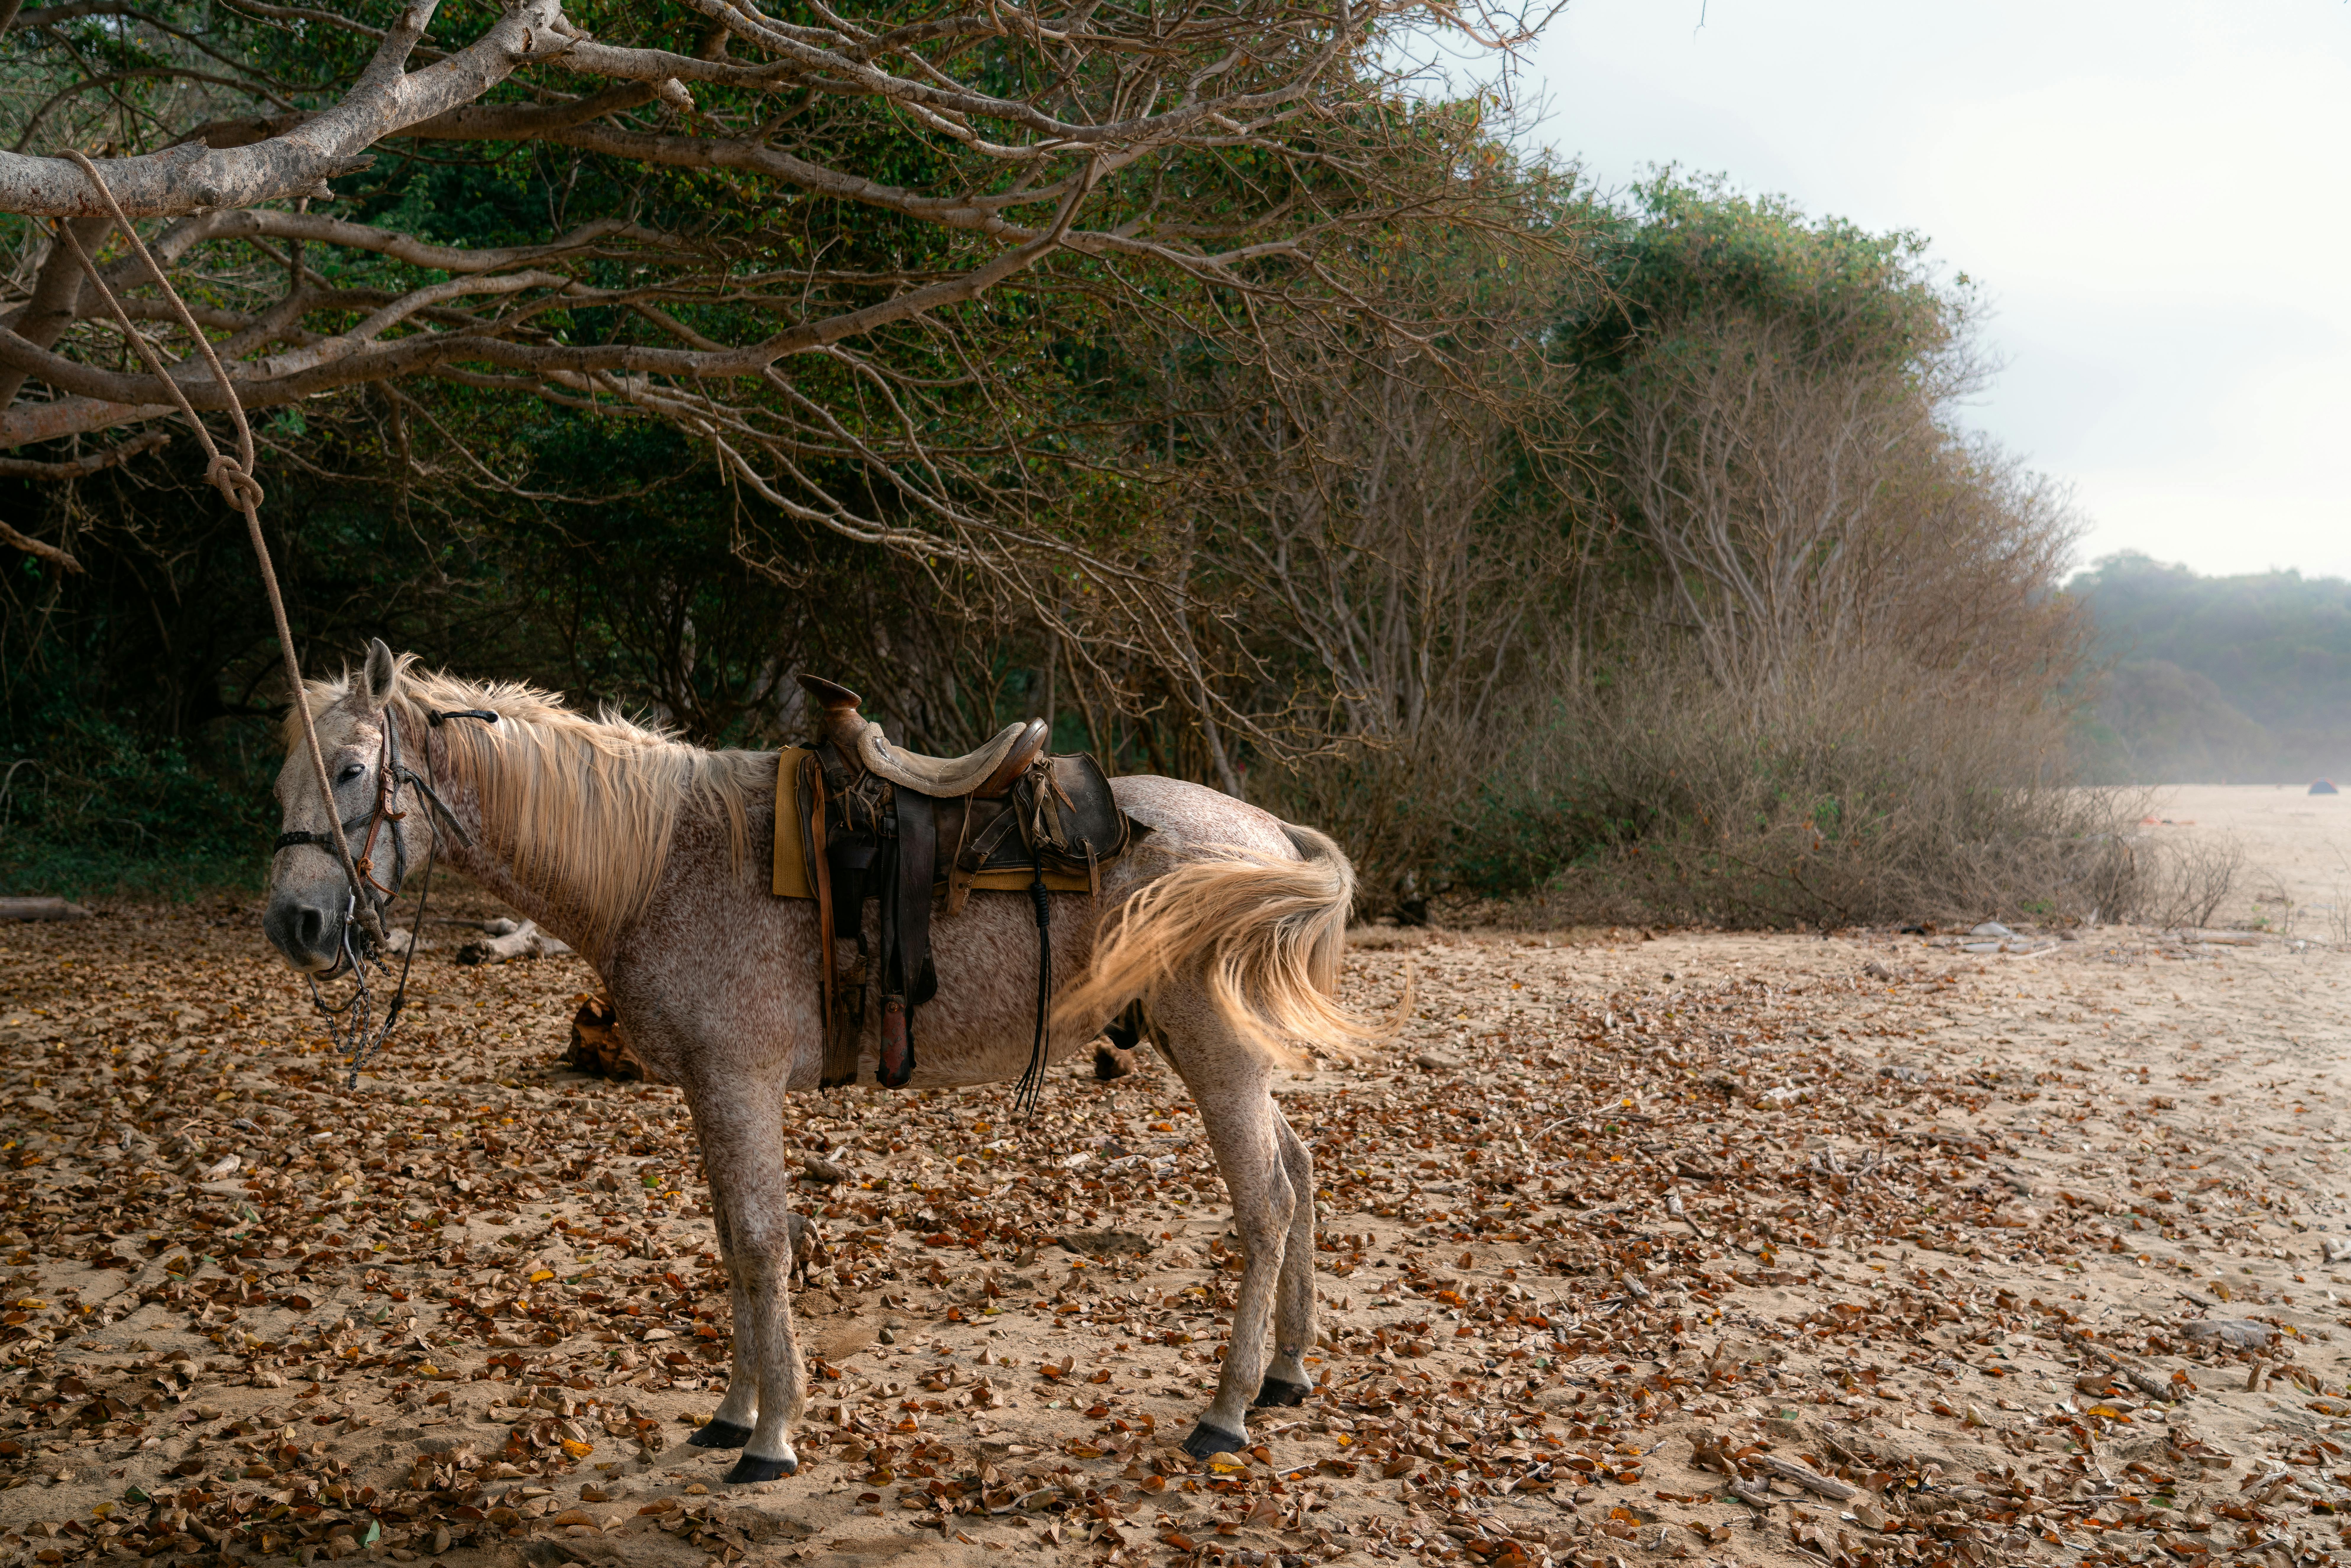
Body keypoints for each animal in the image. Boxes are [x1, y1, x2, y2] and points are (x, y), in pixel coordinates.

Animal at [261, 640, 1374, 1485]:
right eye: (283, 777)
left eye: (351, 770)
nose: (296, 924)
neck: (660, 862)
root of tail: (1266, 832)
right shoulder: (713, 1091)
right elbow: (734, 1244)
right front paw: (730, 1408)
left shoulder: (739, 1083)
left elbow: (760, 1245)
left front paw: (769, 1437)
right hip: (1226, 1054)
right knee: (1302, 1173)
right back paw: (1287, 1372)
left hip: (1216, 1054)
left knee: (1267, 1205)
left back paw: (1226, 1412)